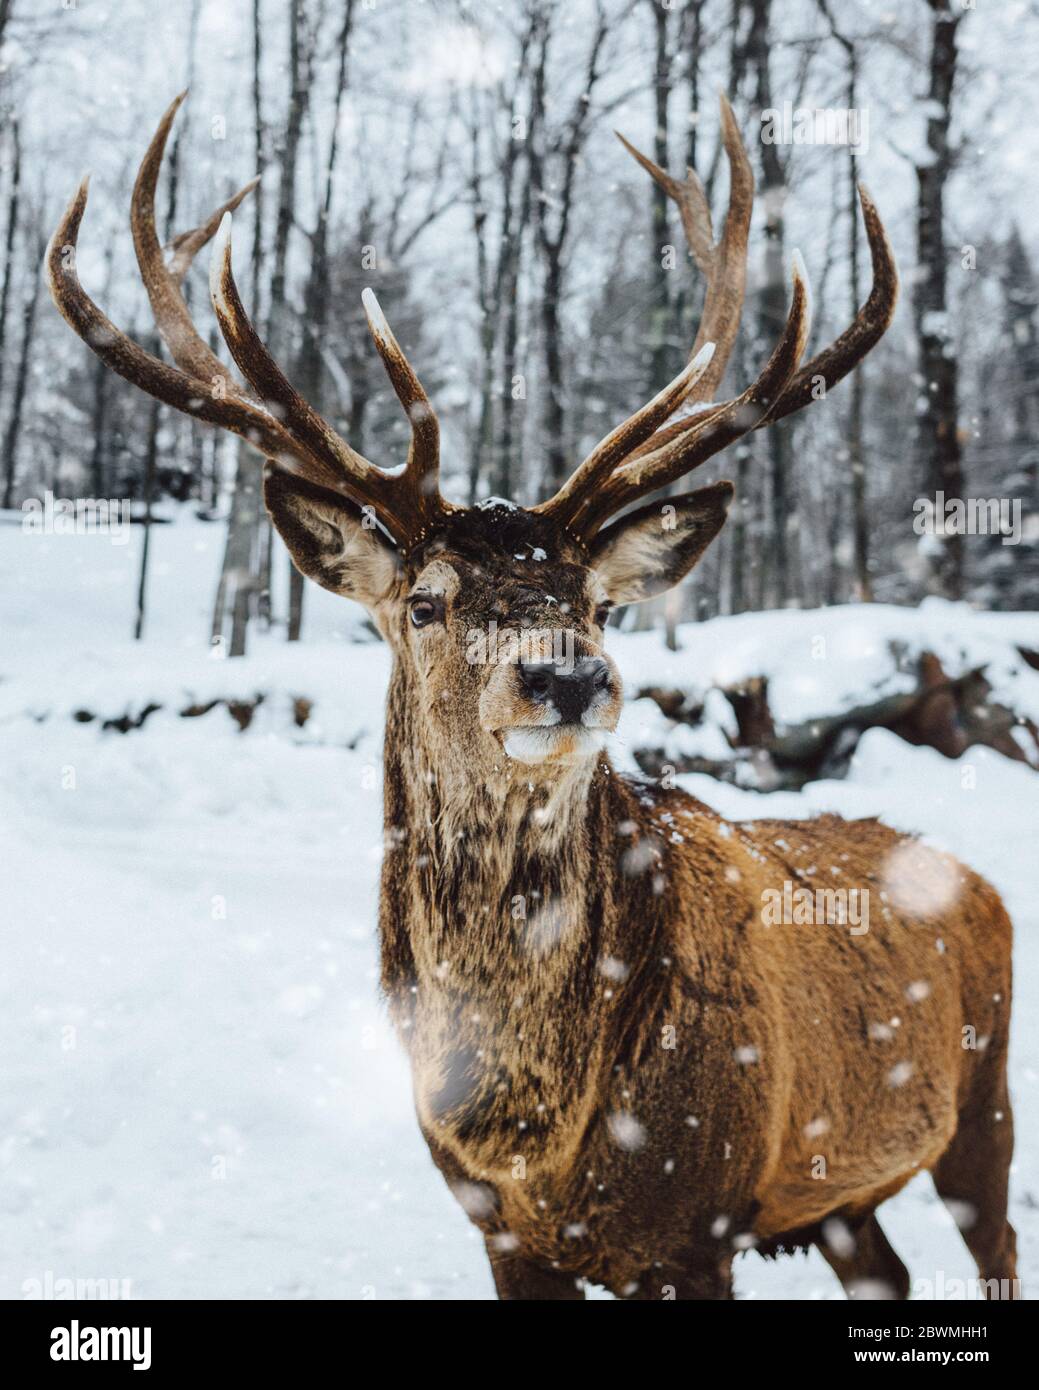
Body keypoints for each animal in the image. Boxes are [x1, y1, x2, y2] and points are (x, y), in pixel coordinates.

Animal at [48, 92, 1017, 1301]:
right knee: (884, 1269)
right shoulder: (495, 1228)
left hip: (983, 1108)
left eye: (598, 603)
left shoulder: (701, 1220)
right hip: (841, 1196)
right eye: (424, 602)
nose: (567, 672)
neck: (533, 1134)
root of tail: (977, 879)